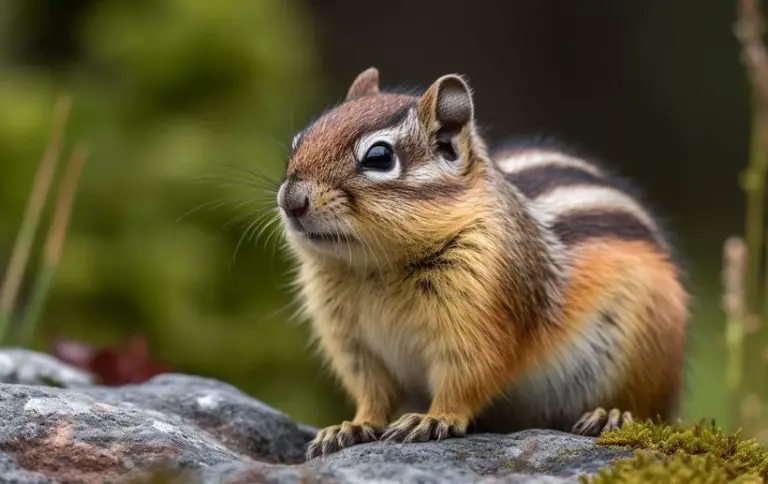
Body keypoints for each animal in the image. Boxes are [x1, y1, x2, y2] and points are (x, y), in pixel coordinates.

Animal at [275, 67, 689, 461]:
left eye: (379, 157)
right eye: (299, 140)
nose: (291, 200)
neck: (373, 269)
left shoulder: (480, 316)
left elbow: (466, 377)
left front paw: (434, 418)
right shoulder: (353, 344)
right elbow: (372, 392)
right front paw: (352, 426)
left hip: (646, 348)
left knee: (648, 410)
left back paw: (611, 415)